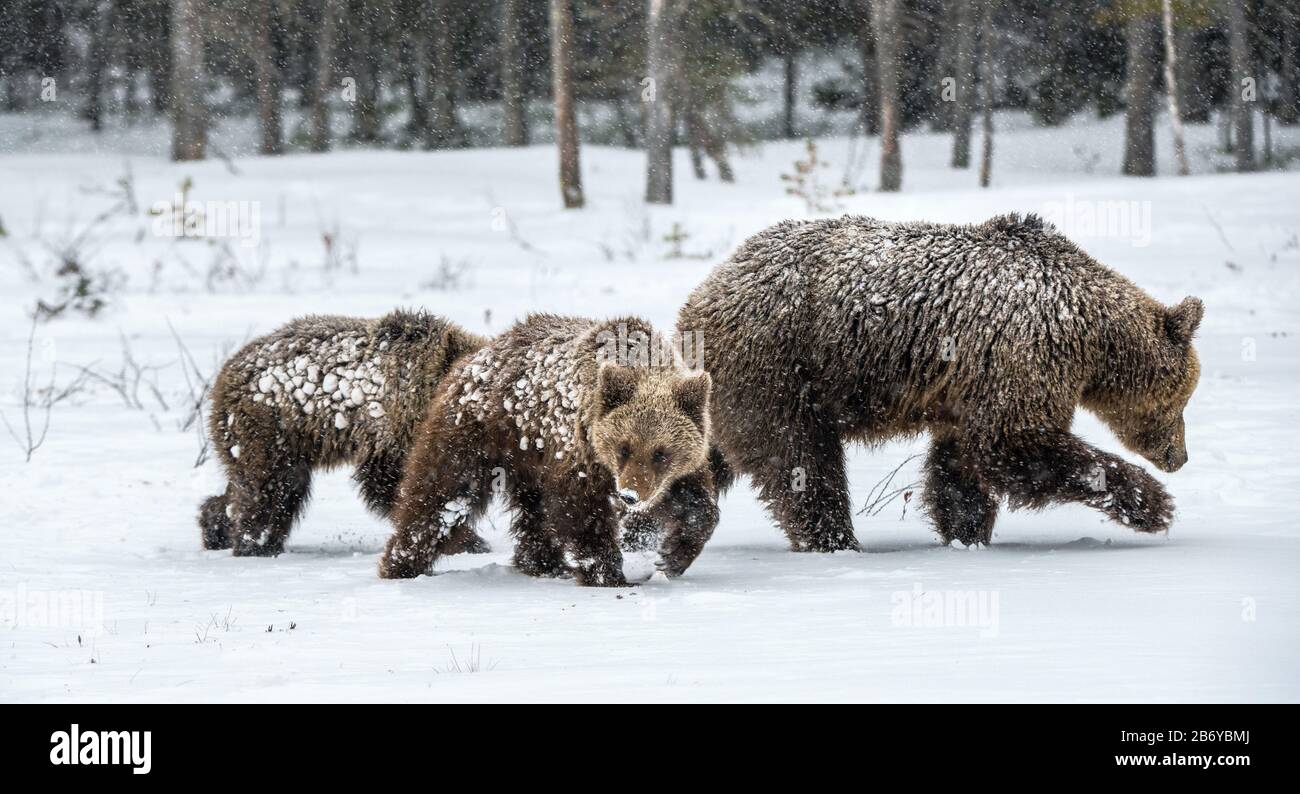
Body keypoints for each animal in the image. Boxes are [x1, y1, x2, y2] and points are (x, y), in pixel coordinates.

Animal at [198, 310, 489, 557]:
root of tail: (224, 374)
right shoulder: (392, 428)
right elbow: (392, 483)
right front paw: (469, 541)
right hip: (270, 425)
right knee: (269, 486)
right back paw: (254, 544)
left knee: (269, 488)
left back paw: (216, 527)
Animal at [377, 313, 717, 586]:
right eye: (624, 448)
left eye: (661, 453)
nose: (630, 496)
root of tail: (472, 358)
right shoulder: (577, 452)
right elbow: (583, 513)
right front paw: (607, 574)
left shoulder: (677, 468)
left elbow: (698, 502)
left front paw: (672, 554)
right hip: (476, 436)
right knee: (441, 497)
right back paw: (400, 564)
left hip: (528, 457)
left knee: (534, 510)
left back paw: (544, 563)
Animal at [677, 213, 1203, 550]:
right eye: (1184, 401)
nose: (1179, 457)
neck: (1089, 334)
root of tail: (701, 295)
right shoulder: (1024, 349)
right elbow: (1016, 445)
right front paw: (1152, 504)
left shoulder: (968, 386)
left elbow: (961, 465)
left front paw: (966, 534)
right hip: (780, 367)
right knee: (801, 460)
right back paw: (836, 540)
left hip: (736, 387)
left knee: (710, 451)